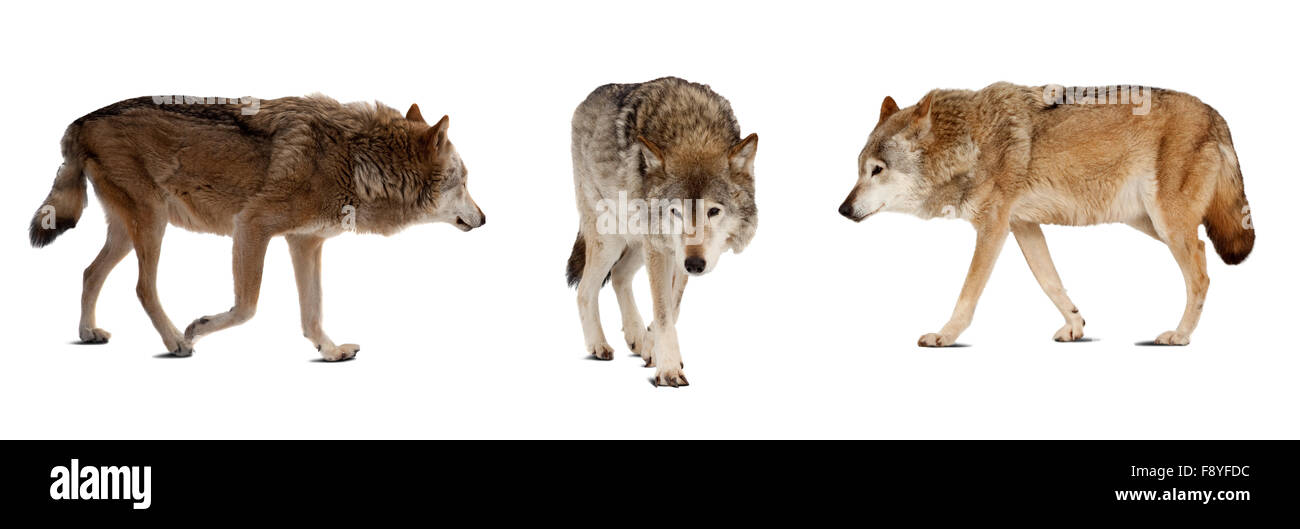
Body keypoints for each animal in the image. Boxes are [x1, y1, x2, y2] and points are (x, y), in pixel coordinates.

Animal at [28, 95, 485, 360]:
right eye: (464, 181)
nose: (484, 219)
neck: (356, 158)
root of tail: (79, 122)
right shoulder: (251, 226)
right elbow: (247, 308)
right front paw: (198, 328)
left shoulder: (305, 243)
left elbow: (312, 311)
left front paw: (330, 350)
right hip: (152, 225)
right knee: (142, 287)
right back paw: (176, 341)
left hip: (128, 232)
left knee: (89, 272)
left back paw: (88, 333)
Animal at [566, 77, 758, 386]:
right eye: (676, 212)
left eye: (713, 211)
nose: (695, 264)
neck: (694, 132)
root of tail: (587, 99)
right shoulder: (664, 250)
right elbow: (663, 309)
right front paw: (668, 369)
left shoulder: (675, 253)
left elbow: (672, 305)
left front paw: (652, 348)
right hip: (612, 238)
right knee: (585, 289)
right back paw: (598, 345)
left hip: (638, 241)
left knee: (619, 275)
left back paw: (636, 337)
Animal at [838, 82, 1253, 347]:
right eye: (858, 169)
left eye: (877, 170)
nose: (842, 209)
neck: (970, 143)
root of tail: (1217, 115)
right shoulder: (1023, 226)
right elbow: (1051, 282)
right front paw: (1075, 325)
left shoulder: (993, 229)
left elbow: (967, 293)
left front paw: (945, 335)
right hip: (1148, 222)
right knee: (1202, 252)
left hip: (1167, 225)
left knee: (1200, 270)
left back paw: (1180, 335)